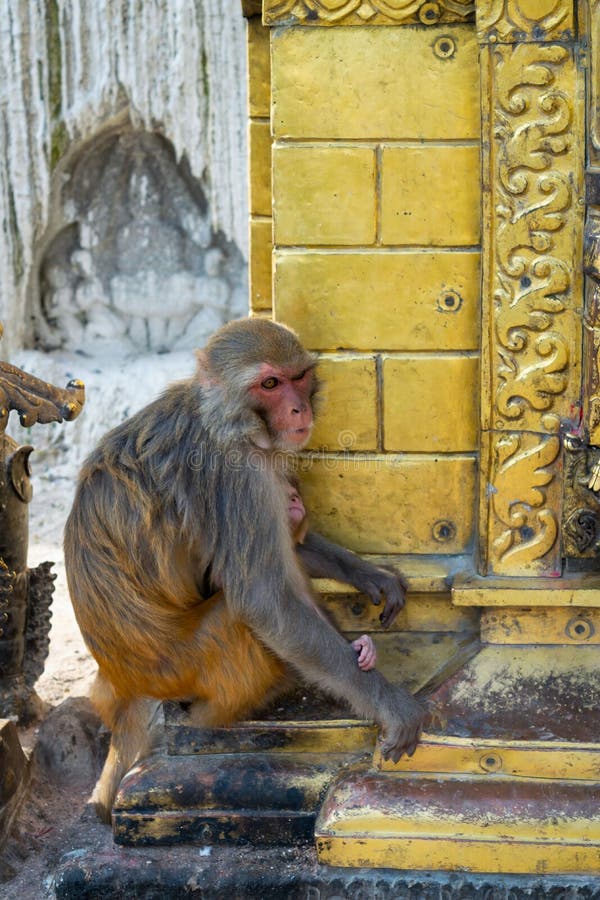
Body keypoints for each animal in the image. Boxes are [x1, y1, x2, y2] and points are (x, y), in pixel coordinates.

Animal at [64, 318, 425, 822]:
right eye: (269, 384)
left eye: (297, 377)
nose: (297, 407)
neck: (223, 418)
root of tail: (122, 682)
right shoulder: (241, 475)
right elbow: (264, 599)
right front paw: (387, 703)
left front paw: (369, 575)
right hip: (189, 665)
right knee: (241, 614)